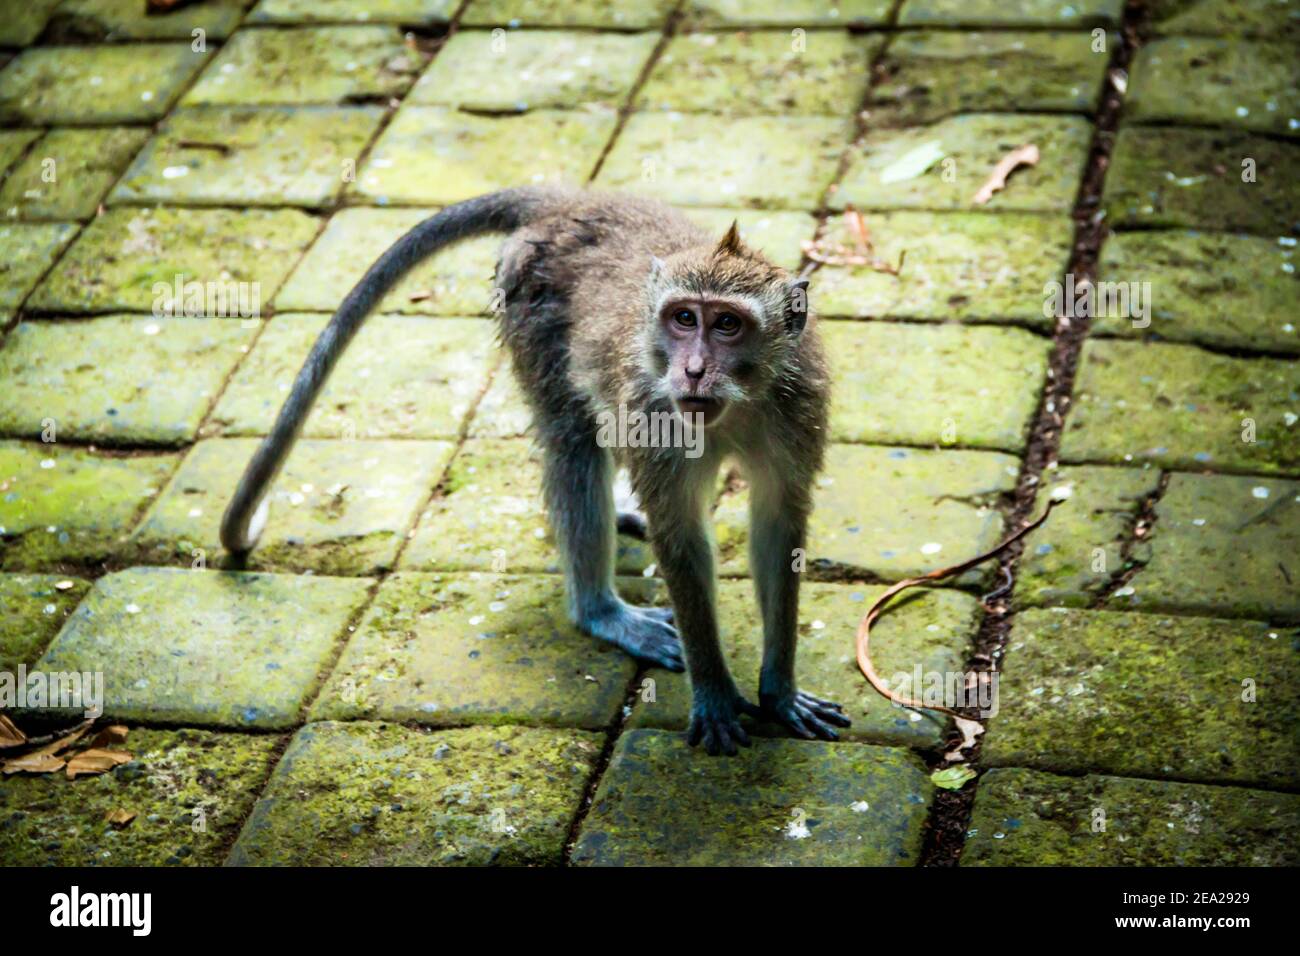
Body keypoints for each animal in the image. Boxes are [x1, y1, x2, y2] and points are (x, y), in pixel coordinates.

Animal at [221, 186, 850, 756]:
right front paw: (715, 694)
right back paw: (600, 612)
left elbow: (778, 526)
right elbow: (682, 540)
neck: (737, 404)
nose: (693, 370)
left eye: (727, 325)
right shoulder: (654, 408)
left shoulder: (799, 405)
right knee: (573, 444)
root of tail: (573, 200)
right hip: (529, 302)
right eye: (684, 318)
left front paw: (779, 691)